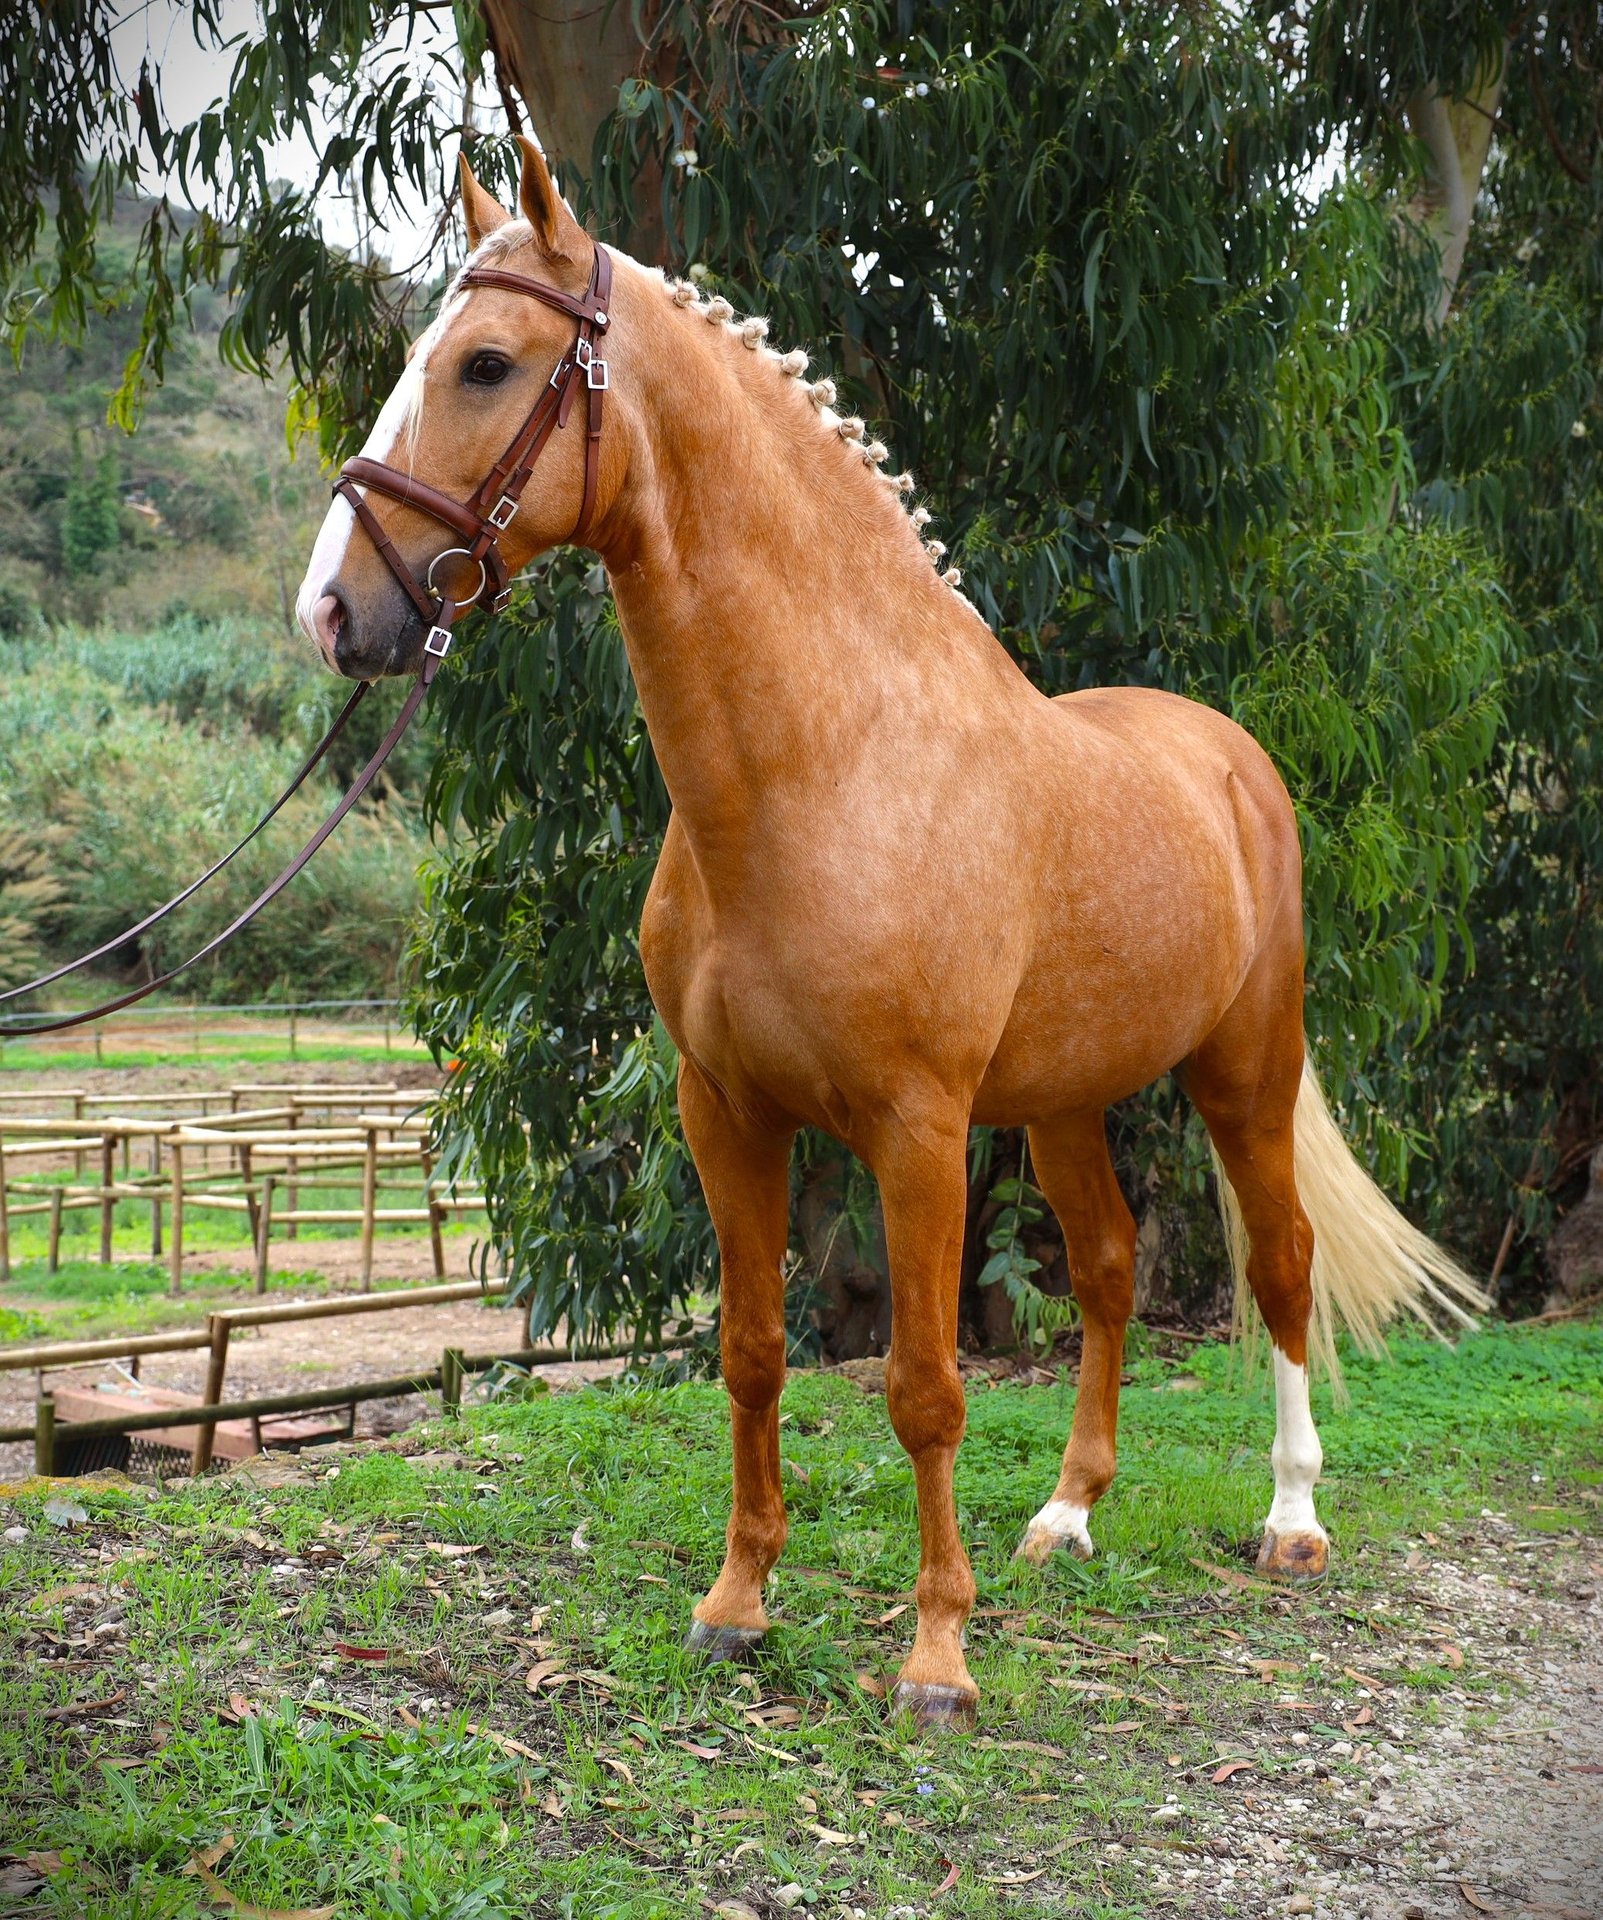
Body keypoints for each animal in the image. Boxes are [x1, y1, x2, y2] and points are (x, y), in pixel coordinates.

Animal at [296, 139, 1483, 1729]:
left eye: (486, 362)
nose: (334, 609)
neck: (827, 767)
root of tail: (1229, 760)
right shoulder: (726, 1114)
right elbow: (751, 1355)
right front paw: (736, 1607)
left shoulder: (917, 1131)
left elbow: (924, 1386)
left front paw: (934, 1660)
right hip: (1062, 1102)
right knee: (1108, 1268)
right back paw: (1066, 1517)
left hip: (1244, 1065)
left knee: (1280, 1260)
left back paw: (1290, 1520)